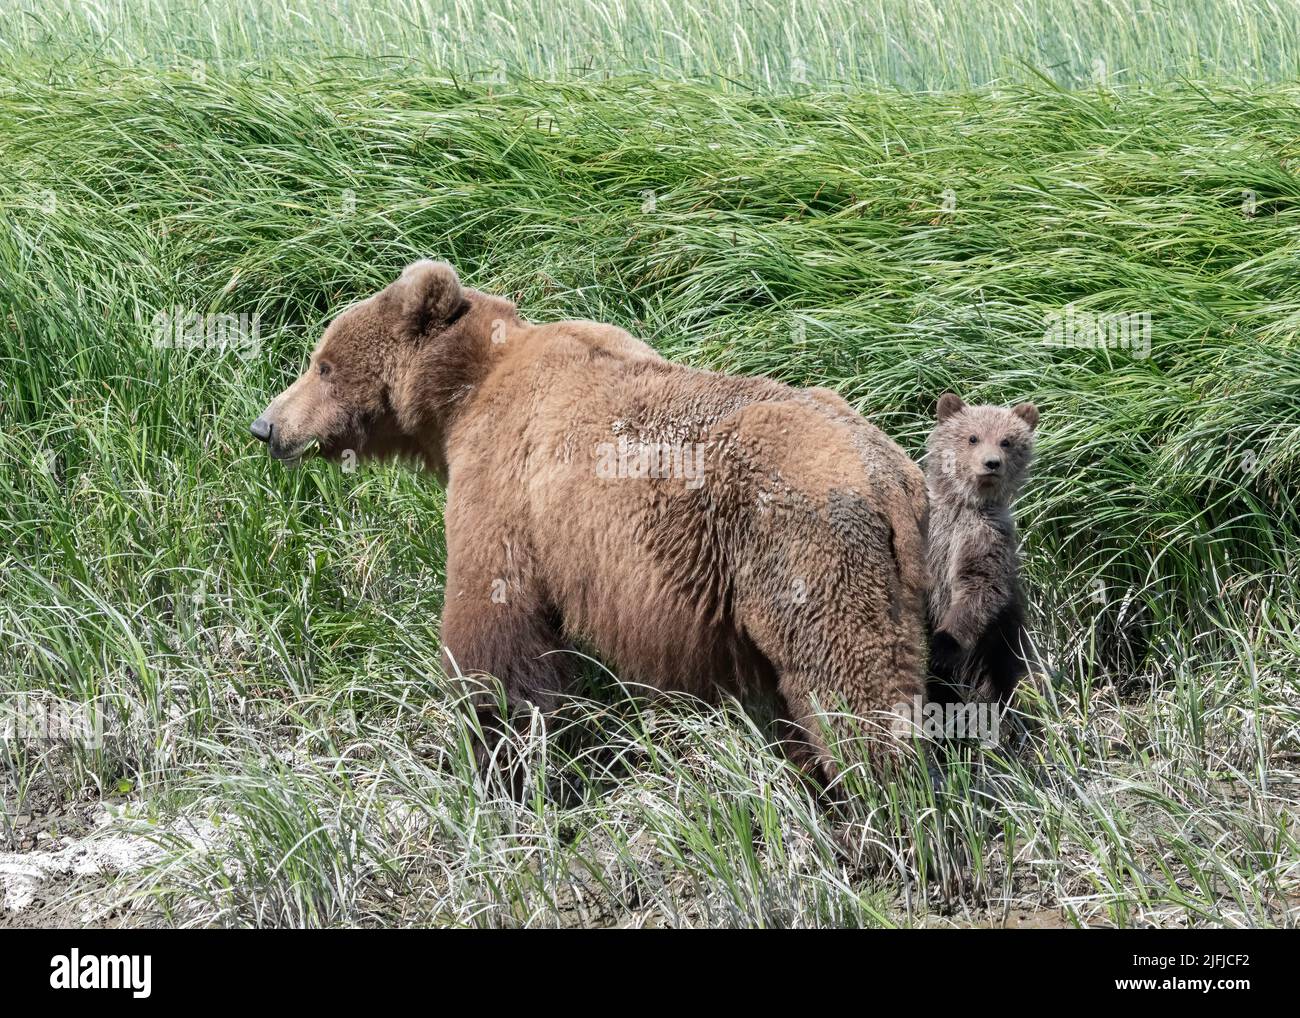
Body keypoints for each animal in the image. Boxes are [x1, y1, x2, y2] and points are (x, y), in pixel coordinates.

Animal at [250, 260, 930, 781]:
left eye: (323, 365)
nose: (266, 425)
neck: (459, 397)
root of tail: (893, 479)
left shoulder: (505, 483)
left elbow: (496, 630)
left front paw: (501, 762)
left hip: (798, 550)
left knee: (849, 687)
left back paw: (881, 806)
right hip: (906, 579)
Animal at [924, 392, 1038, 705]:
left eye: (1006, 441)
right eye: (973, 437)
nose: (991, 463)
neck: (963, 504)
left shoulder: (985, 536)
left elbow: (980, 586)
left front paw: (943, 646)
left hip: (1001, 644)